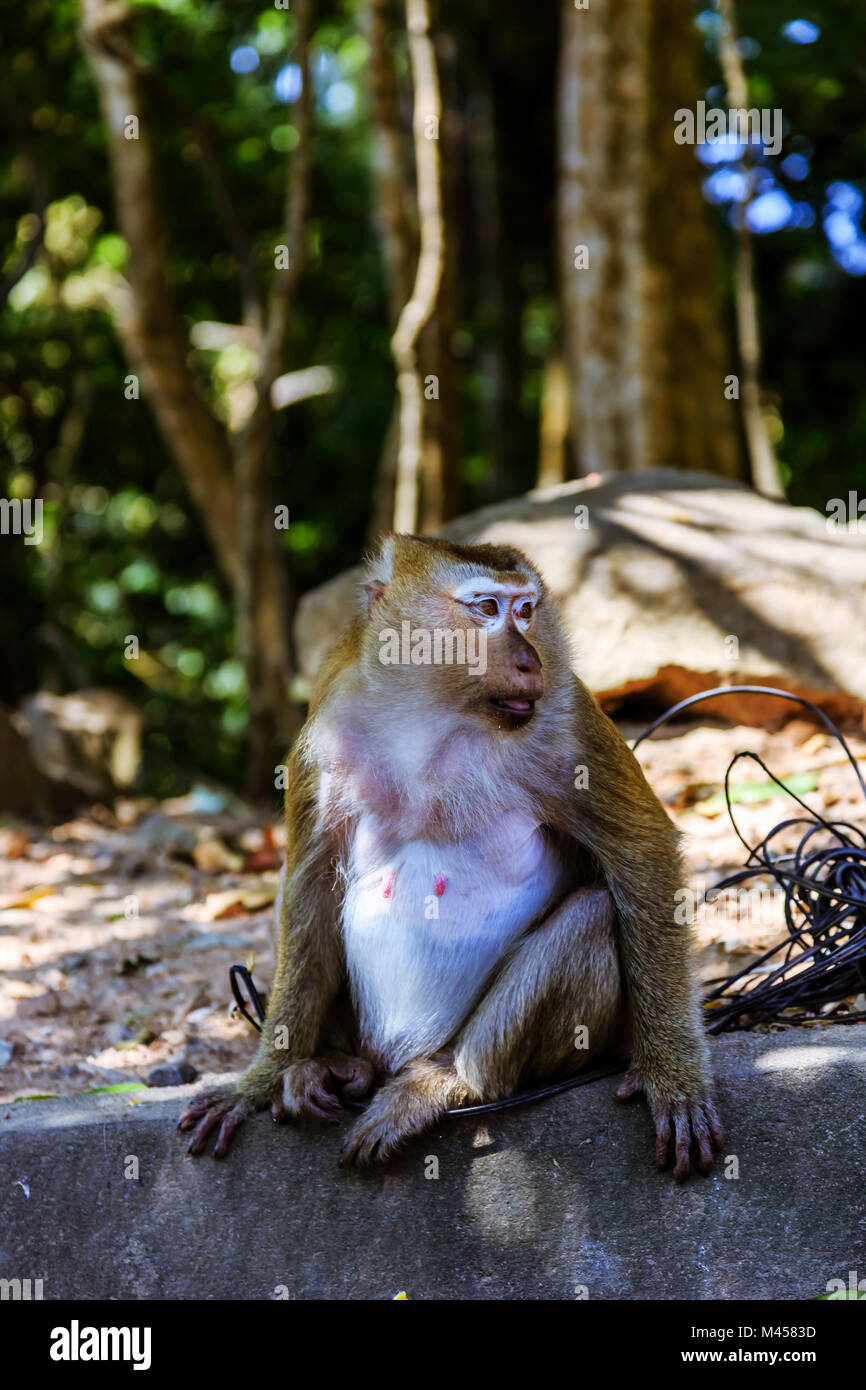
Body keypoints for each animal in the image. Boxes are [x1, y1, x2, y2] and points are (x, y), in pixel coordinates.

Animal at [179, 534, 723, 1179]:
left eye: (526, 611)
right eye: (486, 609)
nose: (530, 662)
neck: (432, 716)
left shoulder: (567, 722)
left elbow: (642, 852)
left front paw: (672, 1075)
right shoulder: (325, 729)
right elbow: (308, 882)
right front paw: (257, 1082)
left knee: (591, 914)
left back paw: (449, 1082)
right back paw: (331, 1065)